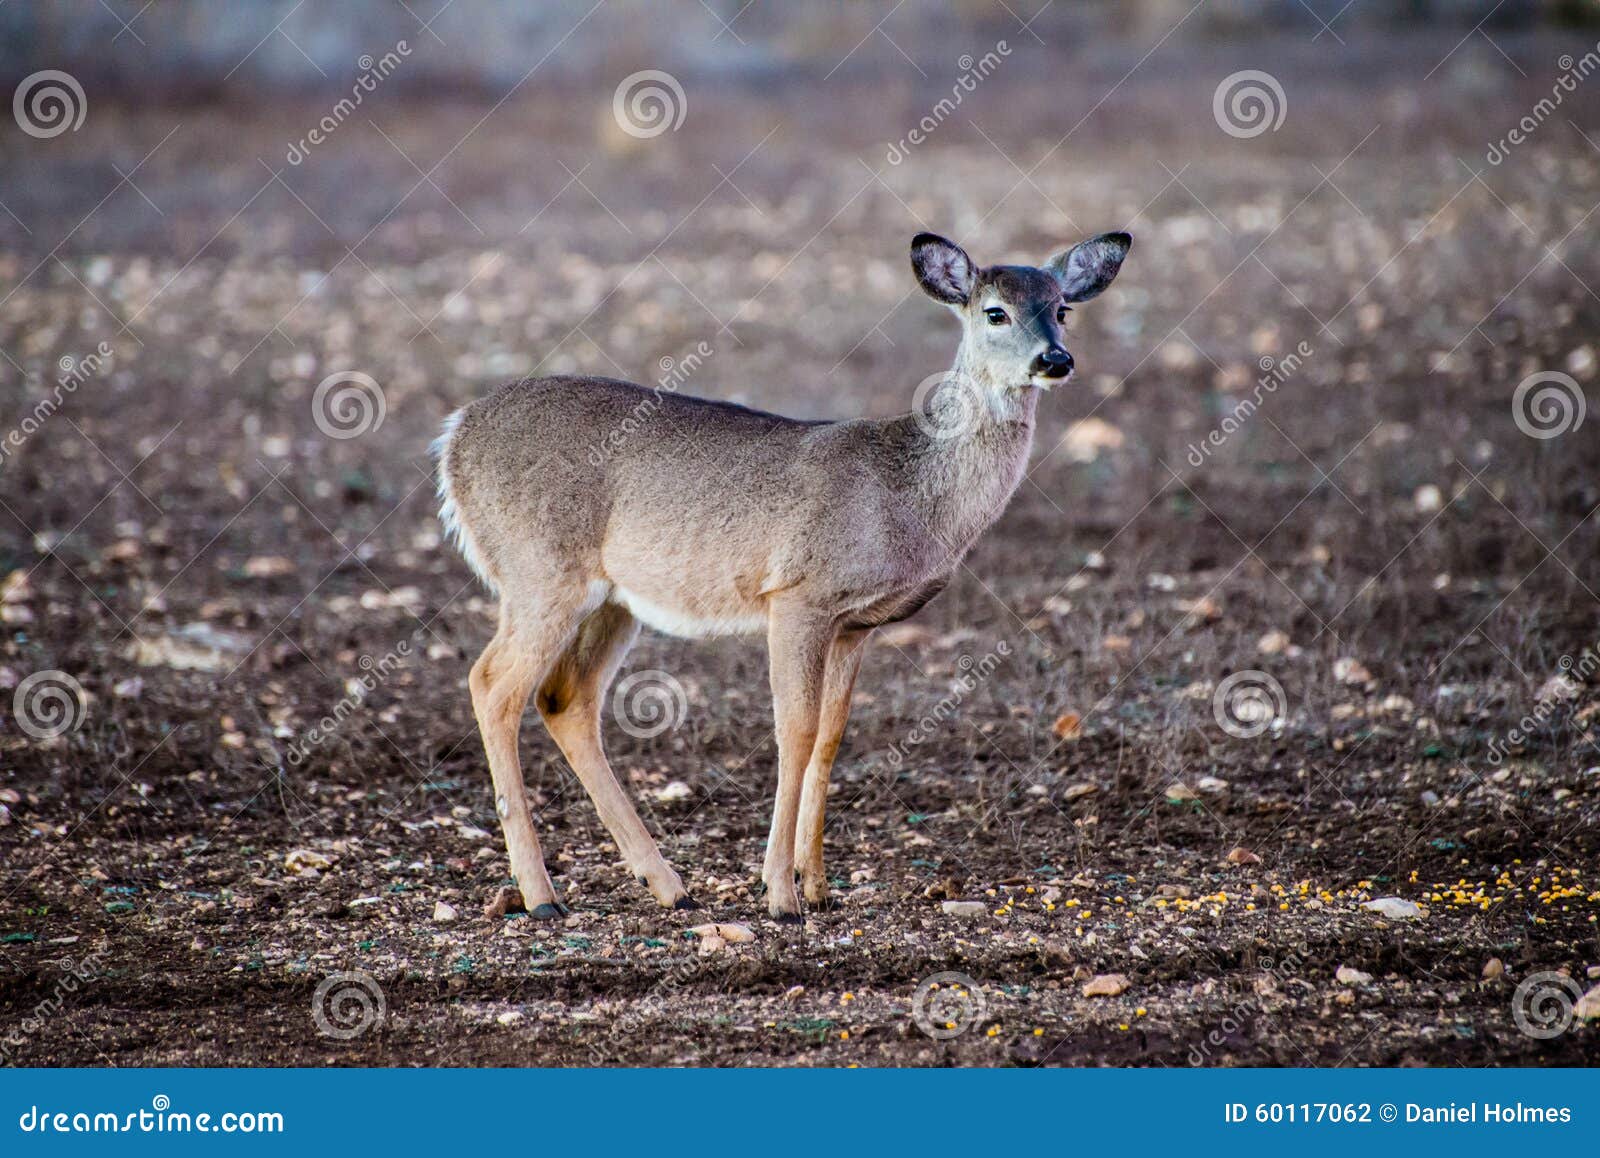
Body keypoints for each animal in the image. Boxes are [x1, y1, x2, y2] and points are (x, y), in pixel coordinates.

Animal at [432, 229, 1131, 921]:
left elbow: (830, 736)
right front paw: (780, 895)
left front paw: (817, 884)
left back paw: (666, 883)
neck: (909, 490)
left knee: (566, 698)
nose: (1055, 360)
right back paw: (541, 895)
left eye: (1063, 309)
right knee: (492, 684)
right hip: (539, 570)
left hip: (613, 600)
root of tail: (454, 435)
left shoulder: (856, 625)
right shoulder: (799, 597)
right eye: (995, 312)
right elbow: (794, 731)